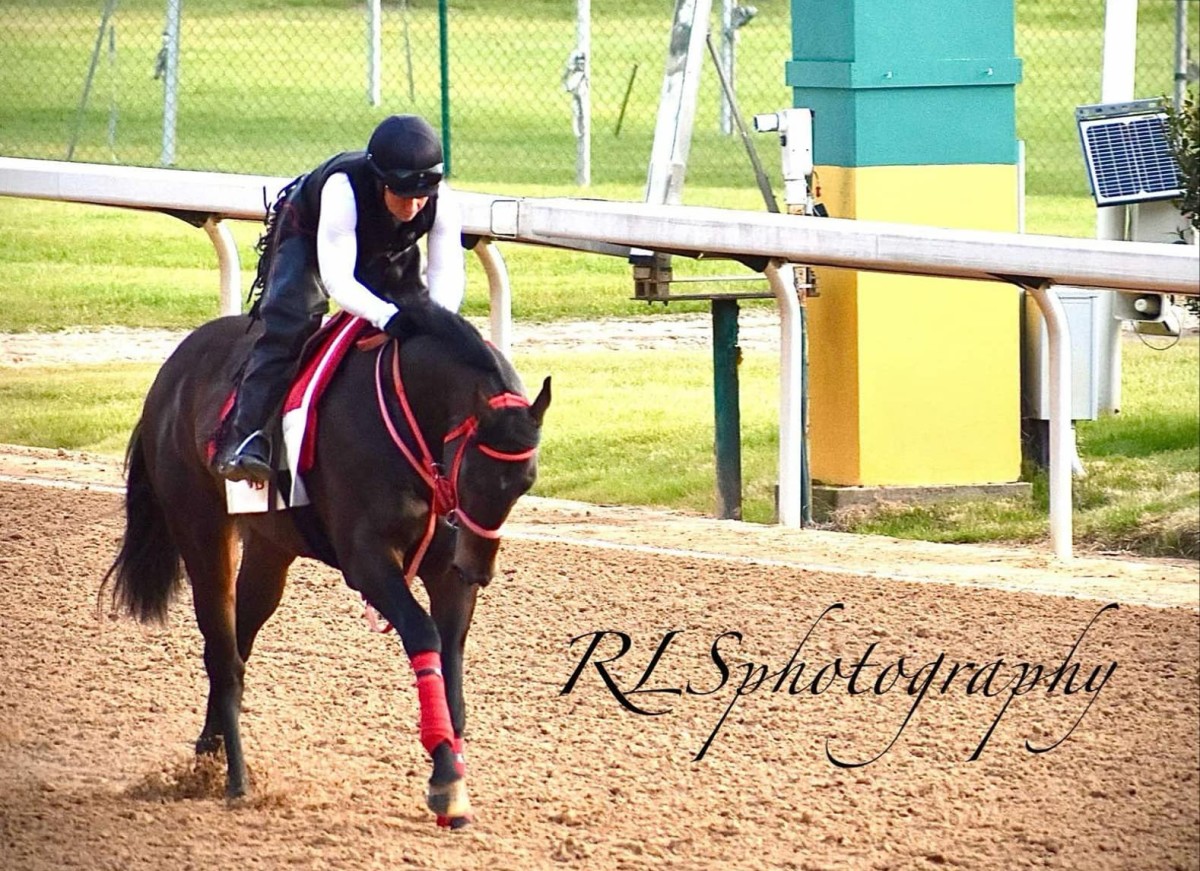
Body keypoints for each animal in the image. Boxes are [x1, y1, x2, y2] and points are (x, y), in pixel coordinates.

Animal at [102, 303, 550, 828]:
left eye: (525, 481)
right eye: (476, 474)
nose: (478, 568)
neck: (409, 422)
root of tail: (173, 367)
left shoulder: (445, 570)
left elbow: (453, 667)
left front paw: (454, 778)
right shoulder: (368, 560)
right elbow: (424, 635)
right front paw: (444, 777)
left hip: (269, 551)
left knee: (238, 644)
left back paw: (207, 759)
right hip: (201, 529)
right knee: (222, 654)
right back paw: (236, 779)